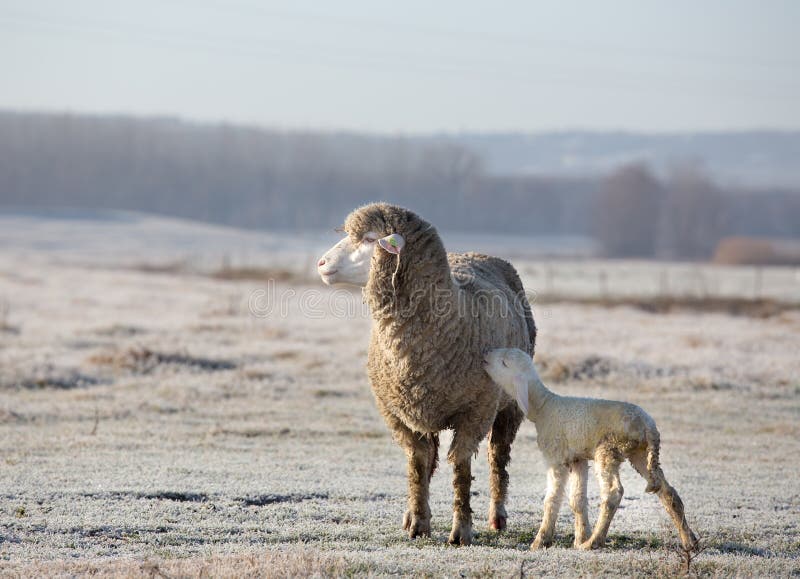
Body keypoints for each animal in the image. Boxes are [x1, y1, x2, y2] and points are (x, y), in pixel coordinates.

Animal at [317, 203, 536, 545]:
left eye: (369, 239)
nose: (321, 263)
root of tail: (475, 253)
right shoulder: (398, 413)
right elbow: (418, 464)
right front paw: (419, 523)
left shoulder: (476, 411)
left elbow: (460, 467)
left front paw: (461, 530)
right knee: (430, 460)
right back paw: (413, 514)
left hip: (509, 406)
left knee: (497, 458)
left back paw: (497, 516)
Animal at [483, 347, 698, 552]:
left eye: (504, 362)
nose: (485, 355)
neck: (543, 406)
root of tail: (648, 426)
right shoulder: (578, 458)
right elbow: (577, 500)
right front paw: (579, 538)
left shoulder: (556, 457)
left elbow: (552, 499)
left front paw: (541, 541)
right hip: (641, 453)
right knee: (667, 491)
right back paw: (689, 541)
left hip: (608, 450)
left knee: (613, 493)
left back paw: (594, 542)